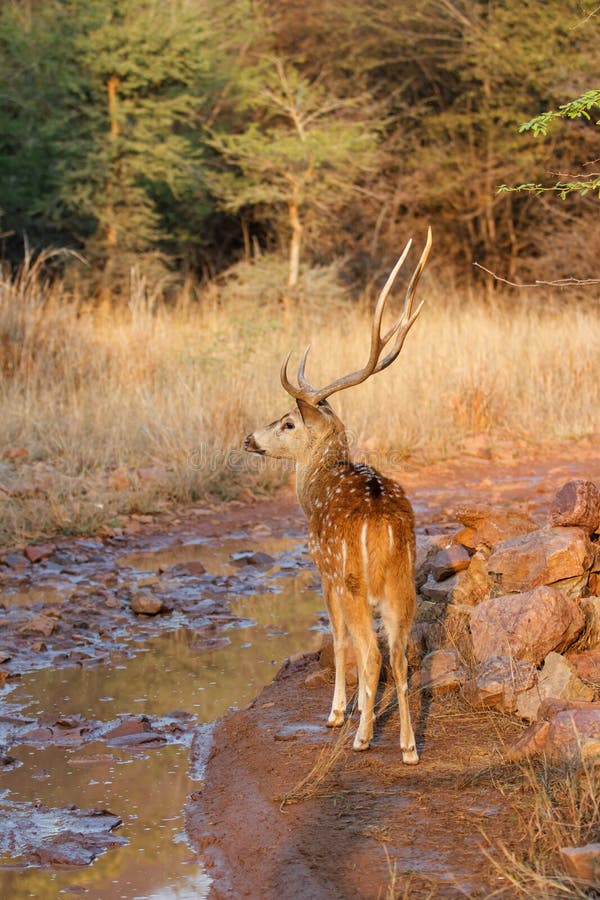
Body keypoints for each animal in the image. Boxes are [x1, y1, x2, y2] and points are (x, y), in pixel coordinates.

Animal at [244, 228, 432, 760]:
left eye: (288, 422)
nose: (249, 439)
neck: (316, 490)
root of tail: (382, 527)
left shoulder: (321, 569)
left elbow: (338, 639)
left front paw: (335, 713)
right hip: (401, 583)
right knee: (402, 655)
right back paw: (408, 747)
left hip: (352, 581)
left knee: (369, 651)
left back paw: (363, 737)